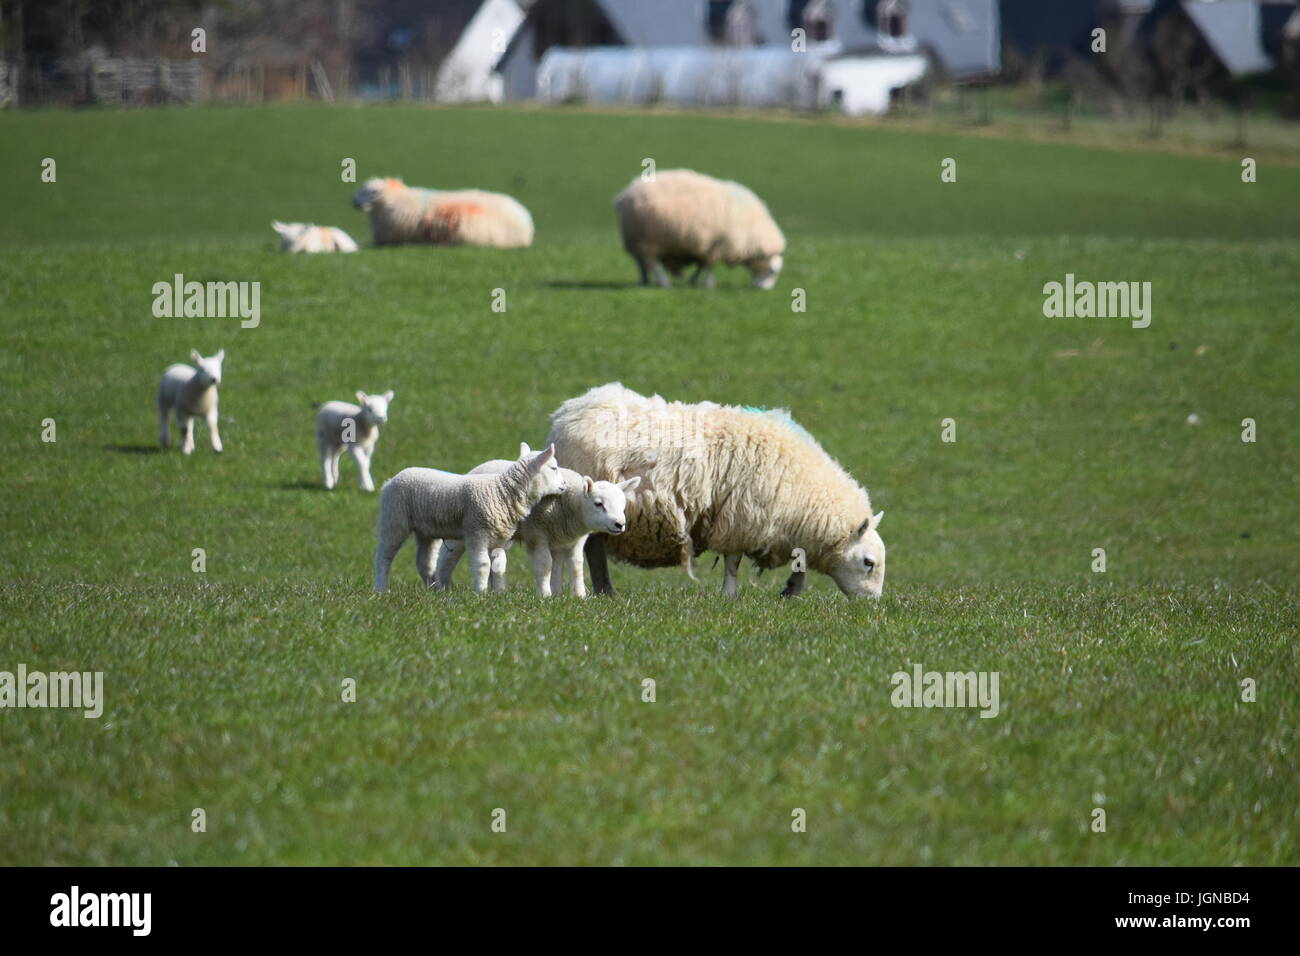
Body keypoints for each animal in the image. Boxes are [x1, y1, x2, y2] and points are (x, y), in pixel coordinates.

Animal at [374, 443, 566, 593]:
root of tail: (391, 480)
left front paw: (499, 593)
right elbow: (483, 565)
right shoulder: (477, 533)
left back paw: (433, 590)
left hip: (425, 531)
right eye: (554, 468)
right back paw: (381, 589)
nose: (564, 485)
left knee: (425, 562)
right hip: (393, 520)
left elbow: (498, 566)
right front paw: (481, 593)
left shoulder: (498, 538)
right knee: (384, 556)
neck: (503, 492)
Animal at [435, 462, 641, 596]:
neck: (570, 506)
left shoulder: (570, 540)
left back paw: (498, 591)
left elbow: (574, 566)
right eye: (598, 504)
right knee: (448, 555)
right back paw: (441, 586)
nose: (619, 524)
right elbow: (545, 563)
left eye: (623, 505)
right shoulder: (536, 533)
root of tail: (478, 467)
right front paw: (546, 595)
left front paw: (575, 596)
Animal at [546, 383, 886, 598]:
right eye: (868, 562)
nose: (872, 605)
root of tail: (566, 413)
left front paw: (791, 591)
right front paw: (730, 596)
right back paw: (606, 592)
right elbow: (733, 562)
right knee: (593, 550)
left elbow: (797, 560)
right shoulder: (740, 518)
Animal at [613, 169, 785, 290]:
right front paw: (709, 285)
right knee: (652, 263)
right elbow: (710, 266)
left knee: (640, 263)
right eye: (772, 271)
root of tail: (625, 194)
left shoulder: (707, 245)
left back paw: (645, 282)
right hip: (647, 239)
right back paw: (664, 283)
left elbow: (702, 264)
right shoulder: (718, 245)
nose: (765, 290)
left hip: (637, 238)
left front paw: (694, 280)